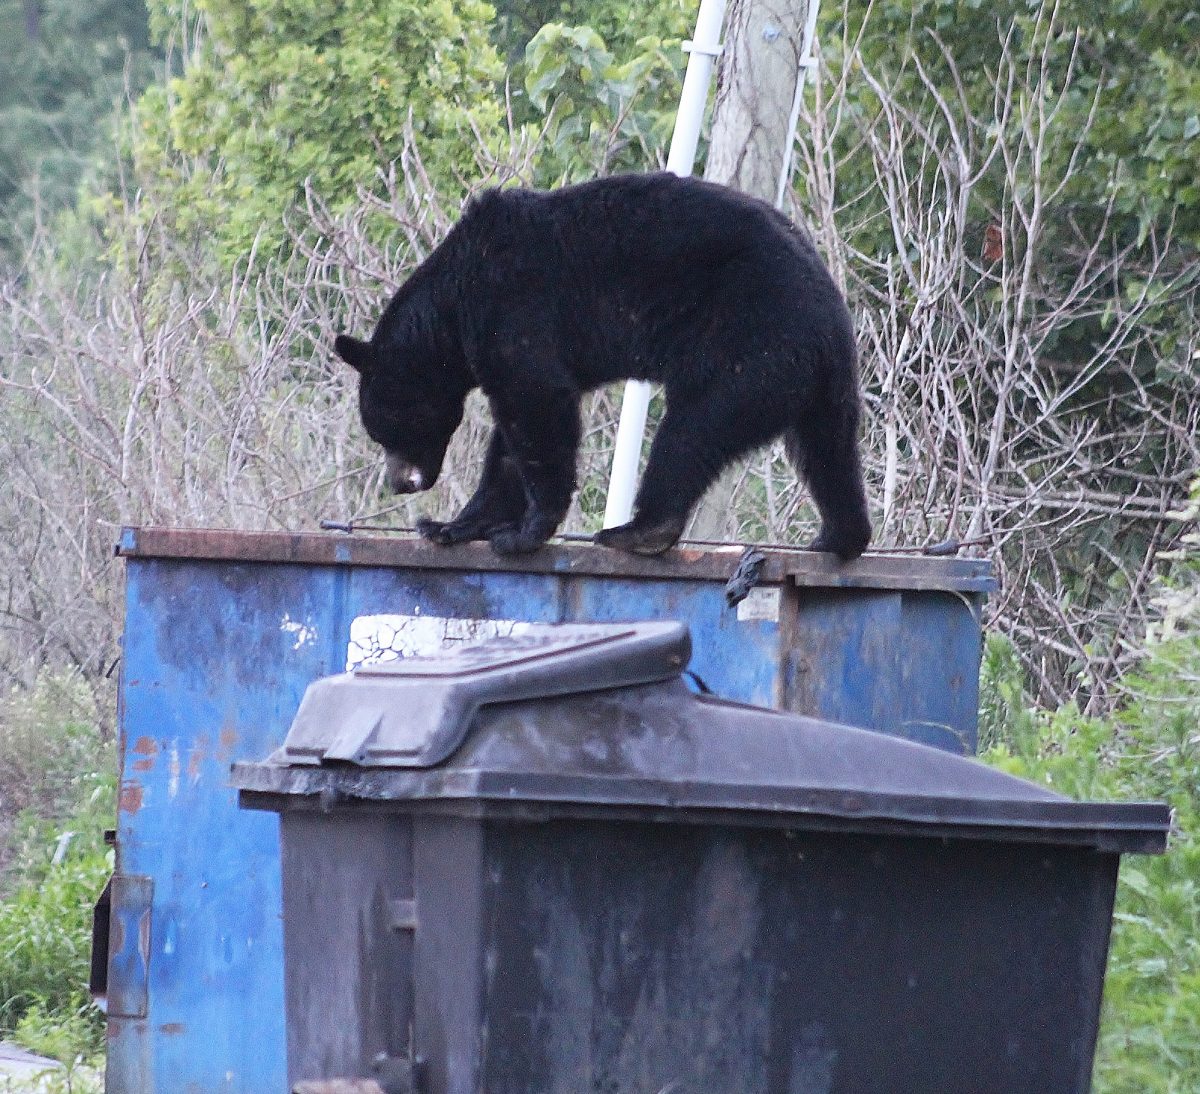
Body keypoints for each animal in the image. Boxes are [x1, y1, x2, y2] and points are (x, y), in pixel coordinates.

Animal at [334, 172, 871, 560]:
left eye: (385, 431)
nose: (400, 483)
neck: (451, 304)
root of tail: (831, 316)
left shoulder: (512, 309)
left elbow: (537, 405)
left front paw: (524, 533)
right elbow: (508, 438)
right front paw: (451, 525)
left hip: (750, 341)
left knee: (693, 429)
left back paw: (638, 530)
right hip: (816, 380)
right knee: (826, 450)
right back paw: (840, 536)